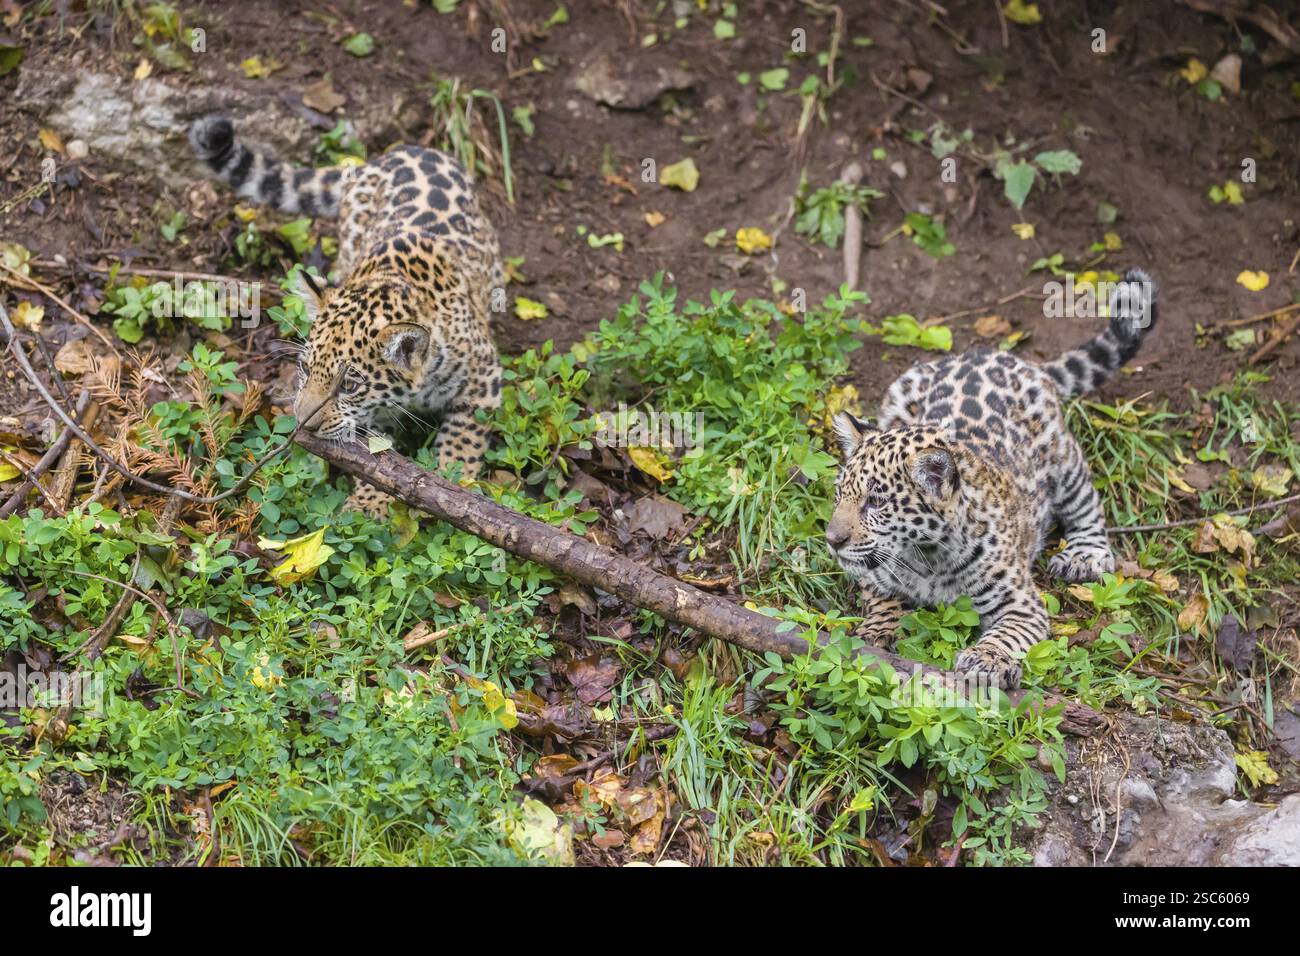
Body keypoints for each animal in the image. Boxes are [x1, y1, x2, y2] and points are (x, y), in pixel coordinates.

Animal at [188, 115, 503, 517]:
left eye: (349, 386)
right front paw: (369, 505)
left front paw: (455, 485)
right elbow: (380, 453)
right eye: (305, 369)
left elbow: (464, 438)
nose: (302, 426)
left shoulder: (484, 379)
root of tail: (396, 152)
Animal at [826, 270, 1159, 689]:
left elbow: (1007, 635)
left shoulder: (1020, 604)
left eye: (876, 502)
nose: (832, 540)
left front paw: (985, 660)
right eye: (841, 494)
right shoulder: (876, 579)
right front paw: (875, 632)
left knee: (1085, 500)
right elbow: (882, 601)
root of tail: (1005, 357)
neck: (928, 558)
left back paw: (1084, 554)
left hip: (1062, 457)